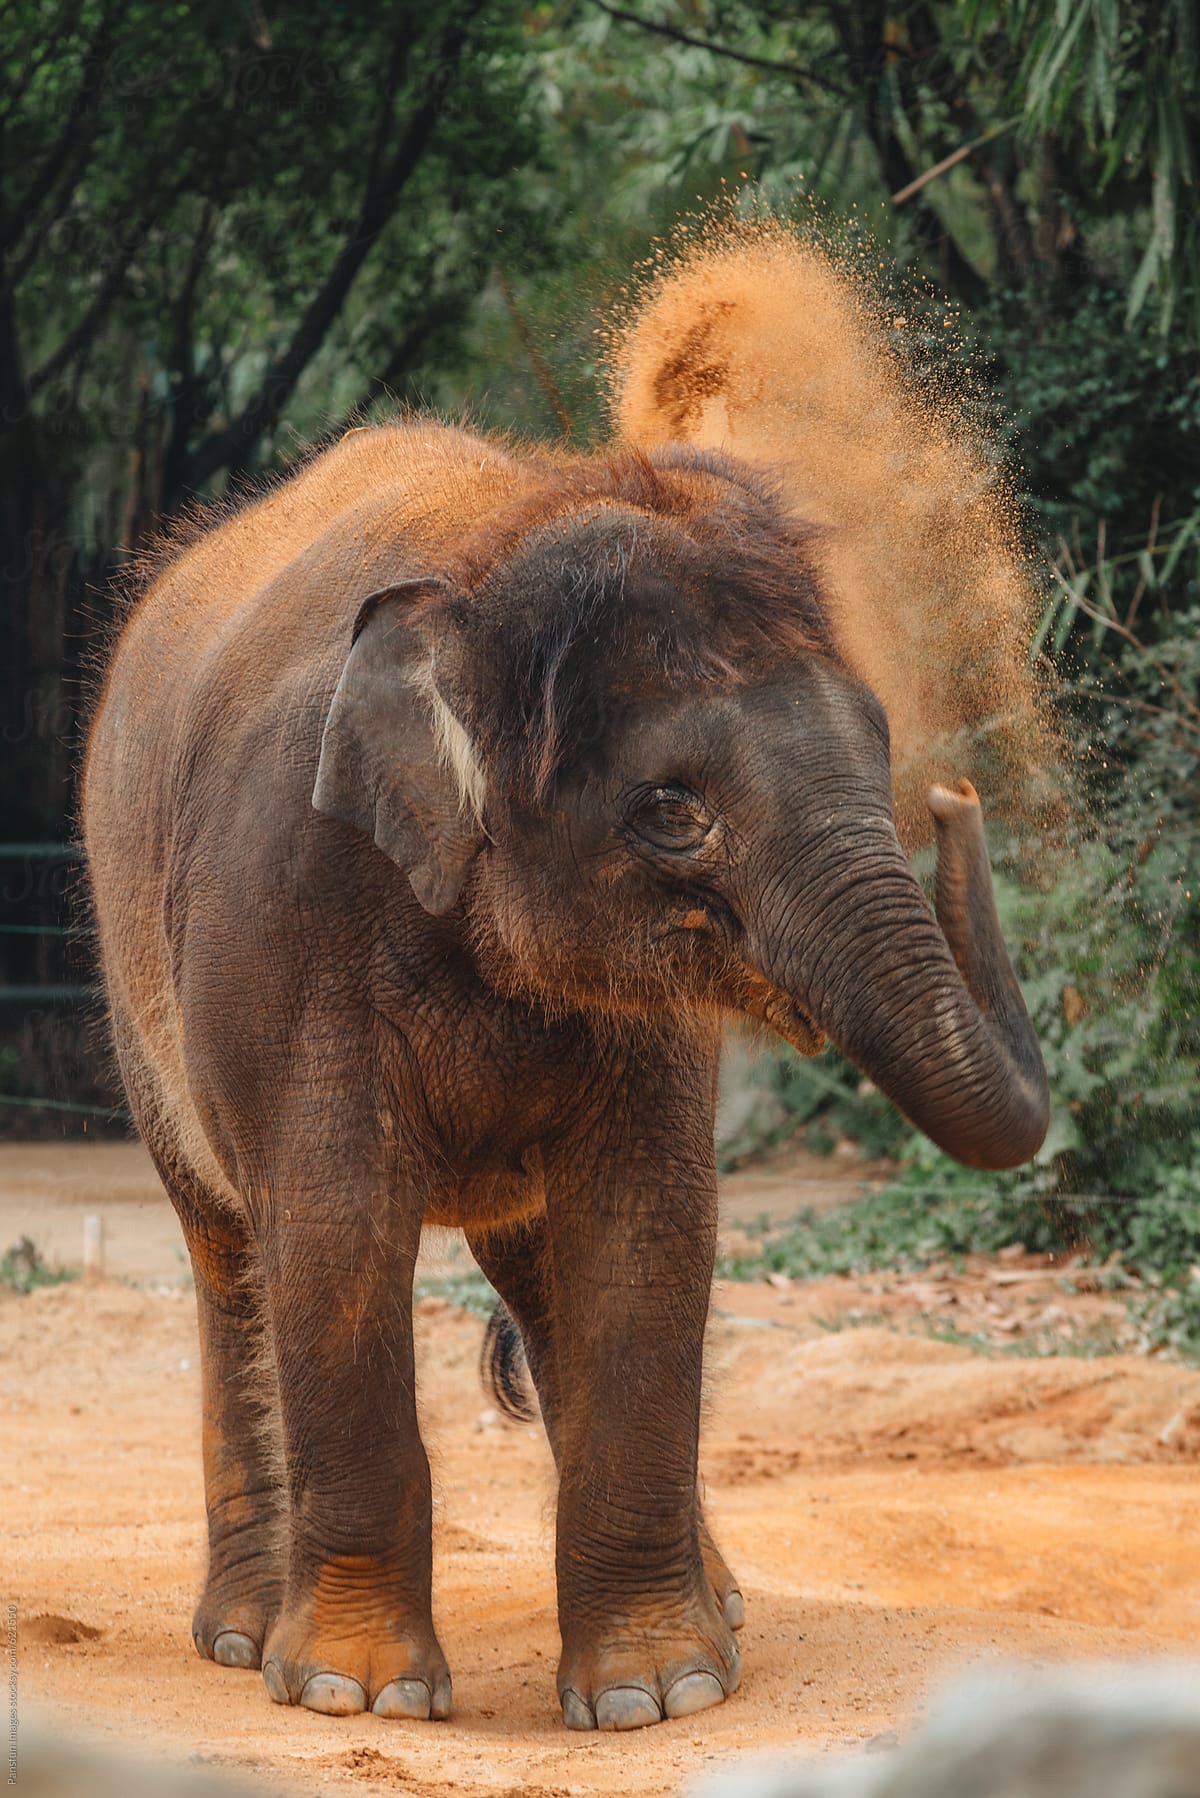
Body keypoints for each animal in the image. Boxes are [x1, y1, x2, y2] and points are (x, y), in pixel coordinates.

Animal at [81, 419, 1048, 1732]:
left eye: (880, 744)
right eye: (673, 808)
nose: (958, 795)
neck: (489, 558)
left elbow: (646, 1233)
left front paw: (659, 1694)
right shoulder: (284, 912)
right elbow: (334, 1224)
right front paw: (355, 1692)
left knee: (542, 1275)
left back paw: (722, 1608)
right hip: (138, 994)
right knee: (229, 1255)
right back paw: (239, 1639)